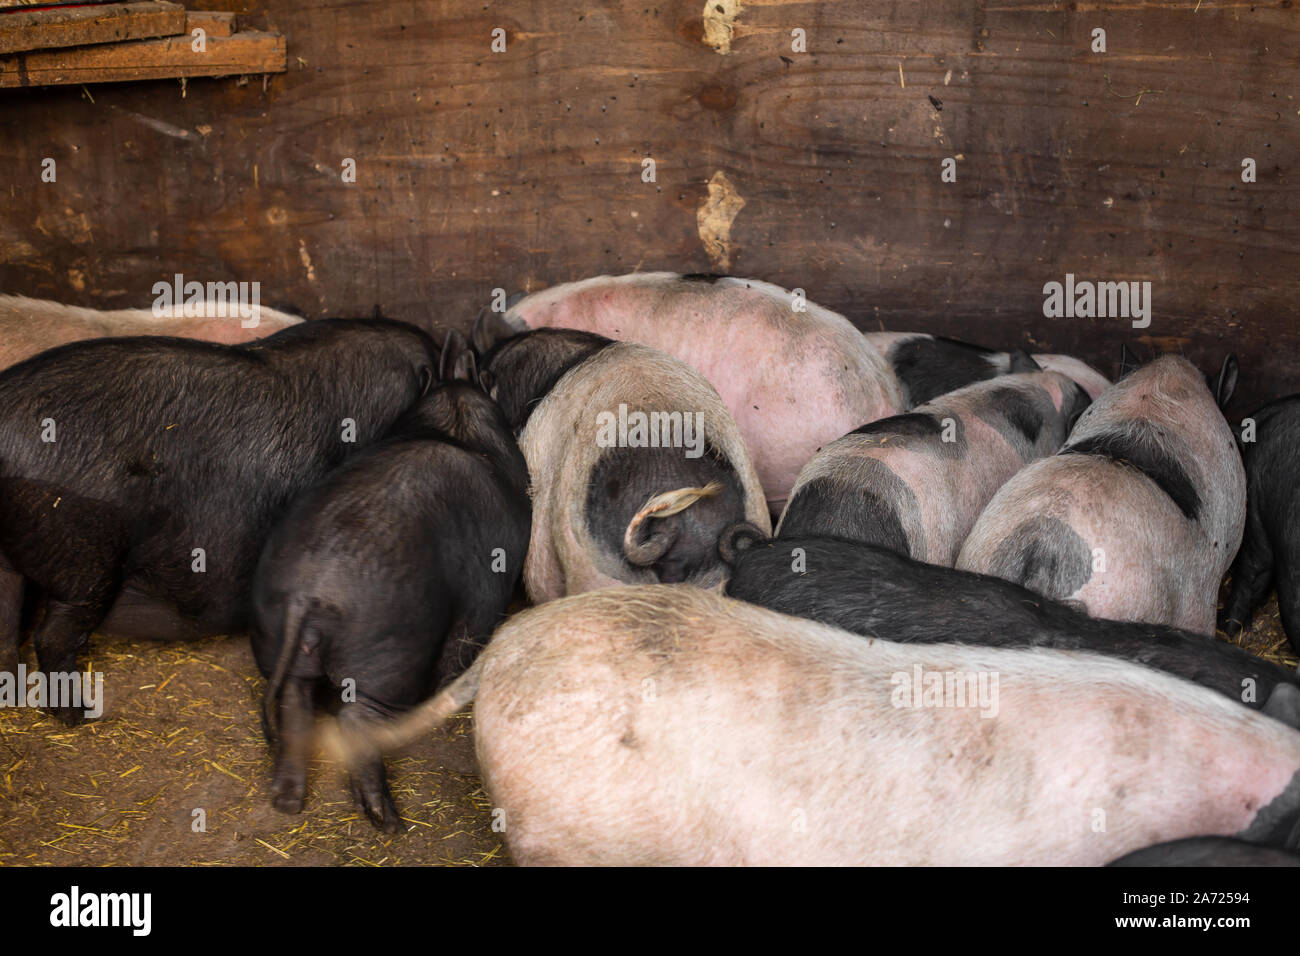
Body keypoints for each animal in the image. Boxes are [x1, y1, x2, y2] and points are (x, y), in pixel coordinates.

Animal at [251, 332, 529, 831]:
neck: (456, 422)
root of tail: (309, 593)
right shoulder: (487, 590)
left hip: (273, 628)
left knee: (295, 705)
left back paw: (287, 802)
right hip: (391, 654)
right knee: (355, 719)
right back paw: (389, 821)